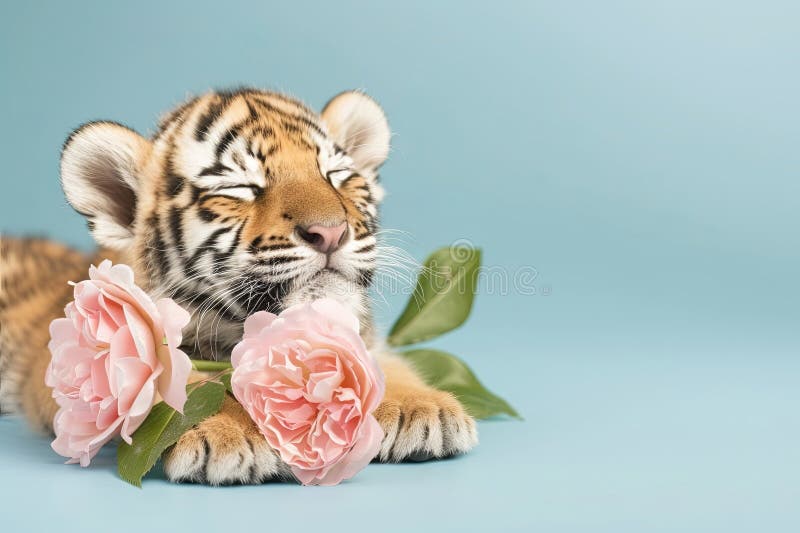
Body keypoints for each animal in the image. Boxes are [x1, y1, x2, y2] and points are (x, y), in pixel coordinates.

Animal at [0, 88, 477, 484]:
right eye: (241, 189)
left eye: (337, 175)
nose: (330, 232)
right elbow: (181, 382)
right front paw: (228, 435)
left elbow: (380, 362)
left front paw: (422, 408)